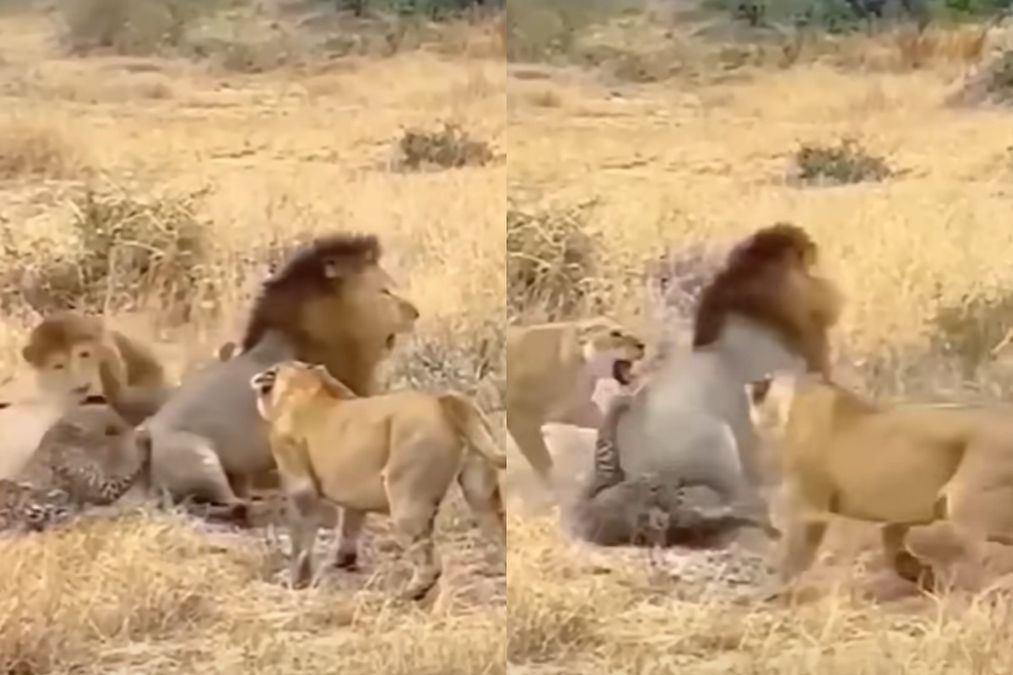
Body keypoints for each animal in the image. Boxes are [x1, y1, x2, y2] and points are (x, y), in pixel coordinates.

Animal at [139, 233, 419, 533]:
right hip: (199, 458)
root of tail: (145, 431)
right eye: (384, 291)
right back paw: (254, 509)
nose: (416, 313)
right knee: (214, 501)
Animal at [250, 360, 506, 599]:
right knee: (499, 535)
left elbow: (301, 541)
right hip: (480, 494)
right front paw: (342, 563)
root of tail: (442, 400)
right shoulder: (352, 502)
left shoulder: (300, 487)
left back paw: (406, 594)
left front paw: (297, 581)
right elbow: (348, 529)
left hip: (406, 503)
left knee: (430, 565)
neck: (305, 383)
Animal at [506, 317, 645, 487]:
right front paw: (559, 490)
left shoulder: (575, 409)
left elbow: (603, 420)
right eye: (615, 334)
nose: (642, 345)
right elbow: (545, 466)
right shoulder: (520, 421)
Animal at [775, 375, 1013, 592]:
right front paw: (926, 577)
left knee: (984, 563)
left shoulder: (811, 508)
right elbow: (894, 549)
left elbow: (794, 559)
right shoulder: (901, 516)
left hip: (962, 498)